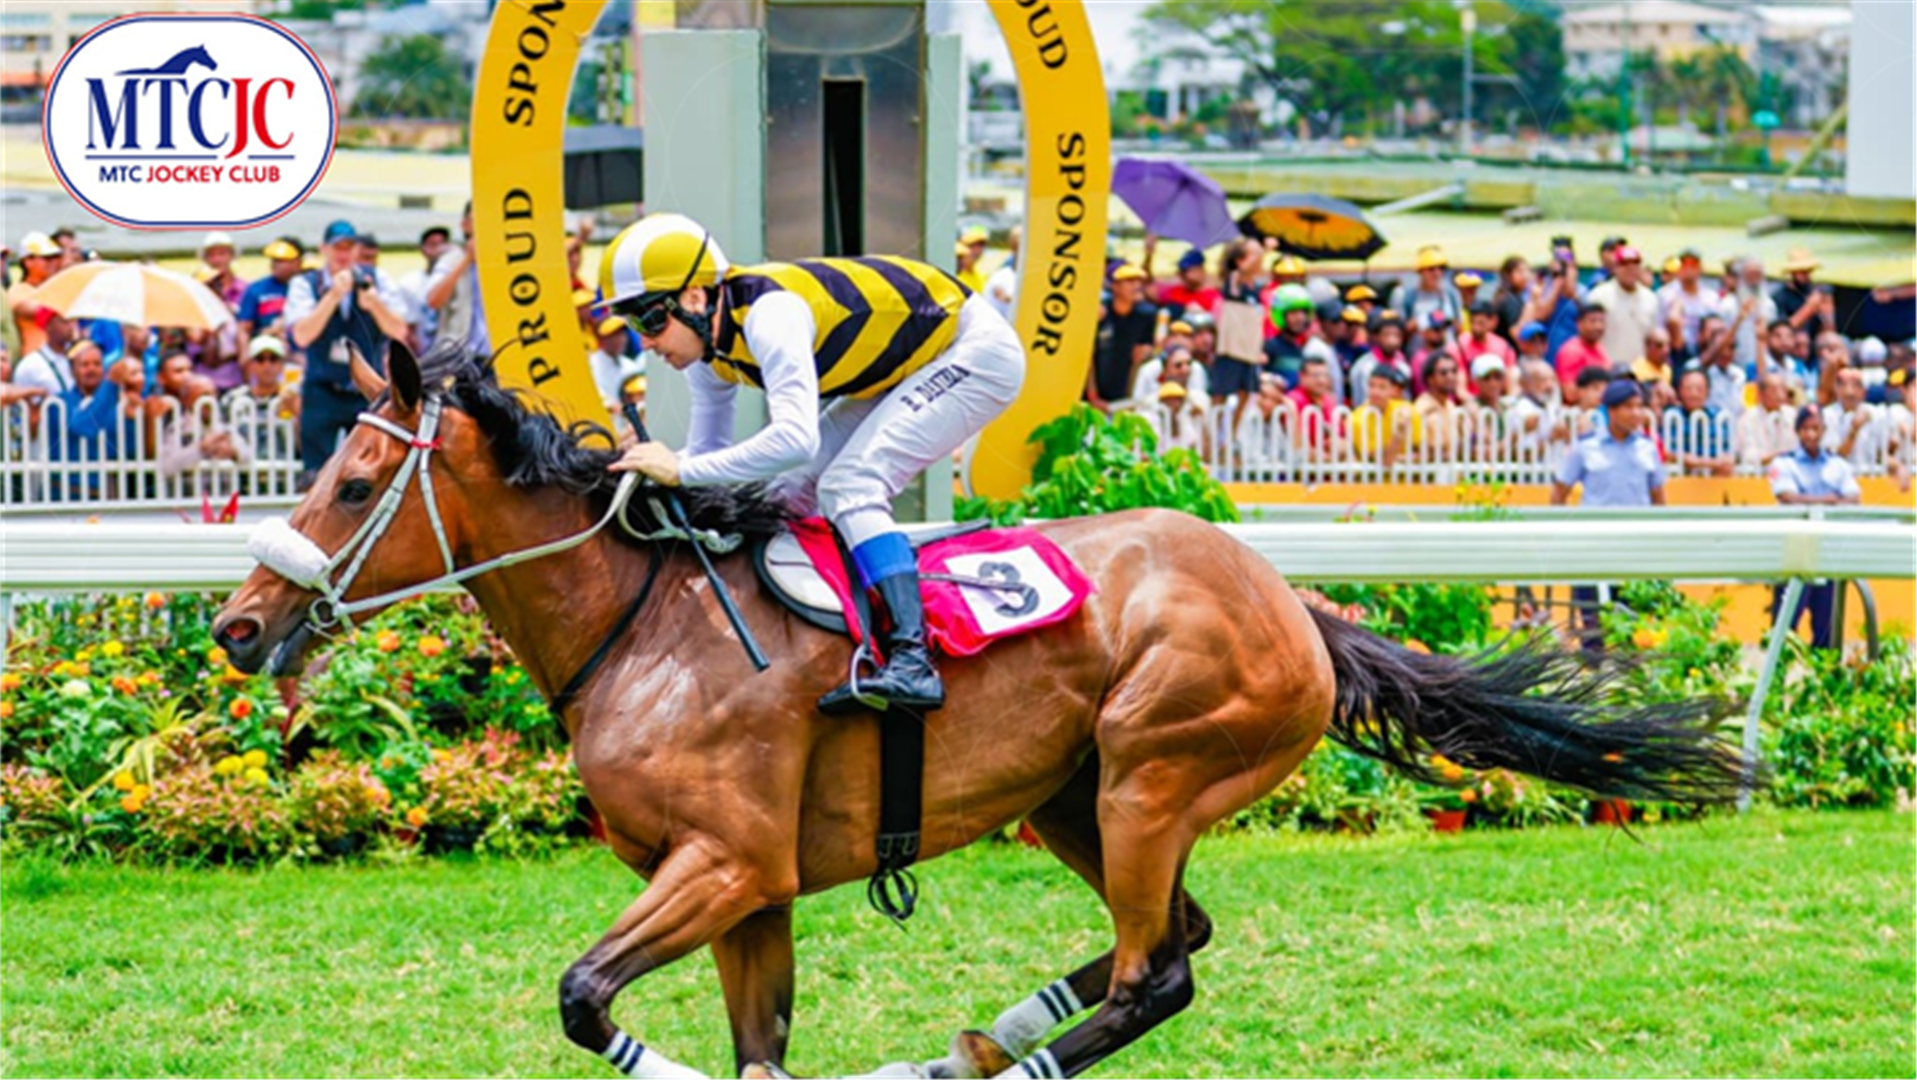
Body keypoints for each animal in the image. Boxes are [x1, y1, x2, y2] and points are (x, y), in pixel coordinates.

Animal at [212, 341, 1748, 1080]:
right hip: (1072, 798)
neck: (641, 628)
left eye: (355, 484)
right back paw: (971, 1048)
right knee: (1172, 945)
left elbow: (586, 999)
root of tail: (1286, 596)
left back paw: (967, 1065)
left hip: (1150, 773)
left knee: (1152, 974)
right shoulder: (751, 891)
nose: (240, 626)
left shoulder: (724, 864)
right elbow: (756, 1051)